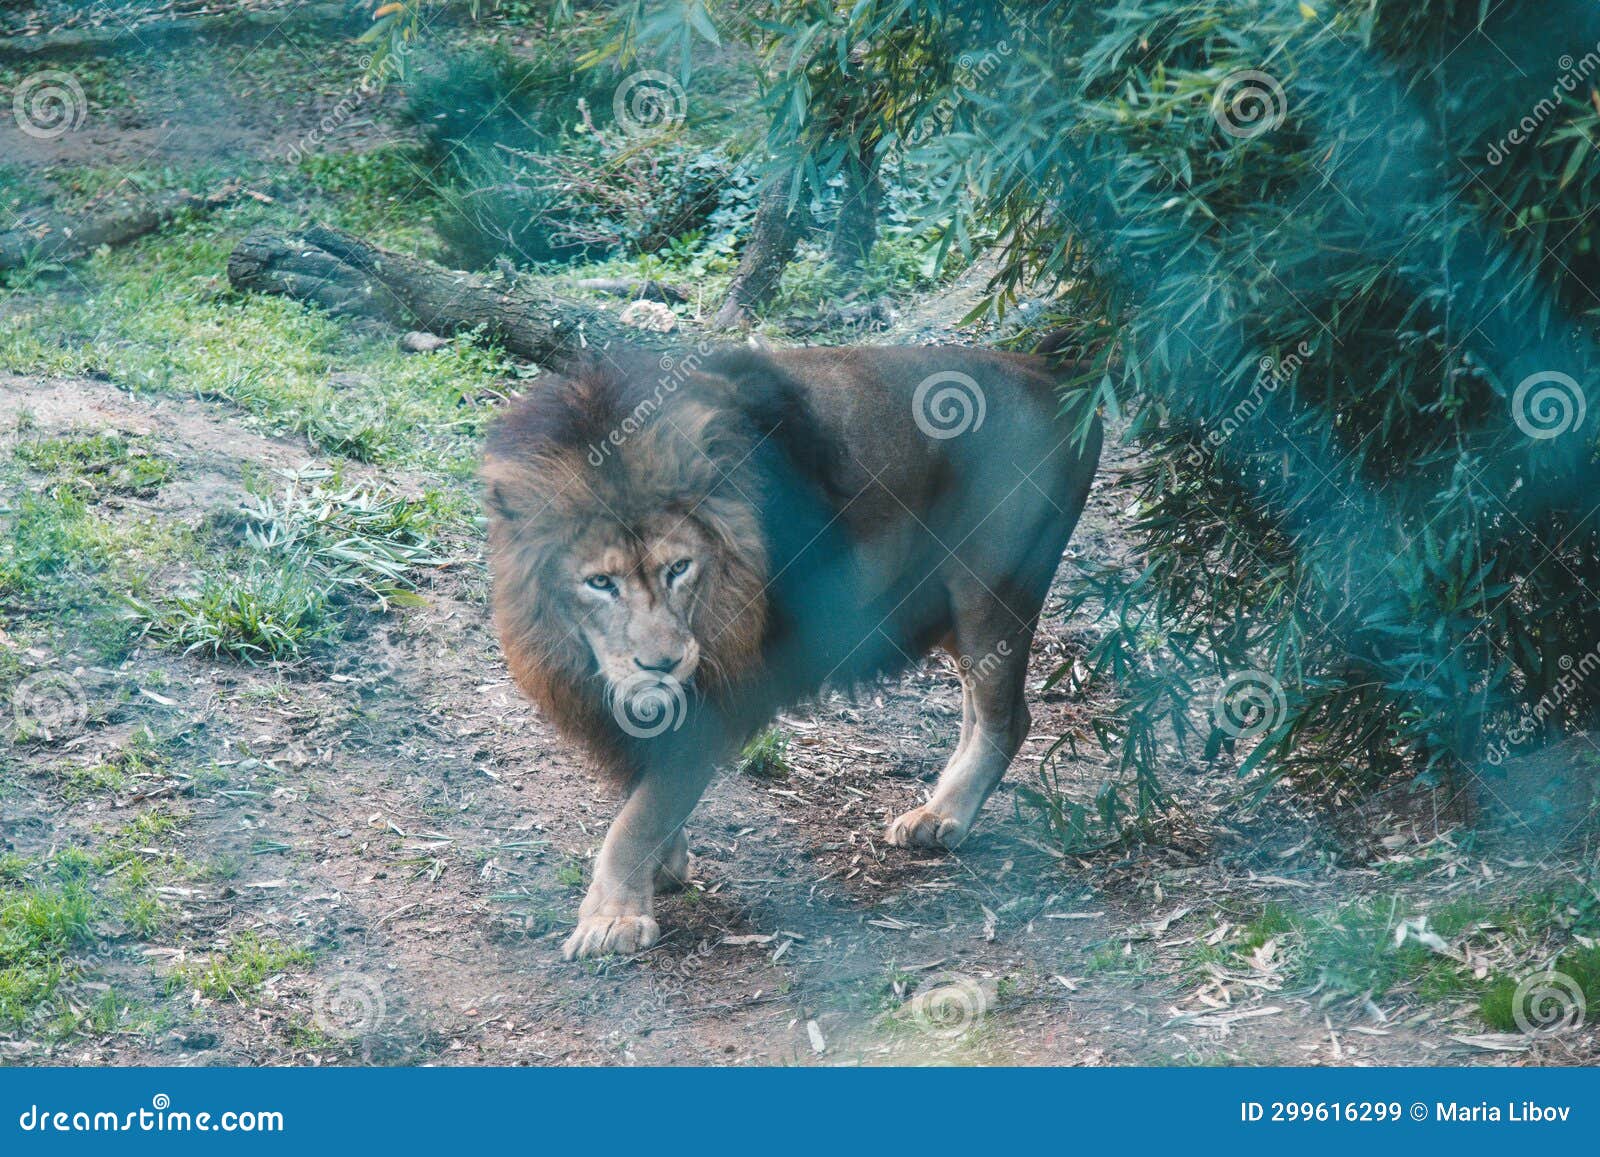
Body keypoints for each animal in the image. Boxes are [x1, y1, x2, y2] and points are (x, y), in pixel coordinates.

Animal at [483, 343, 1101, 960]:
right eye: (600, 583)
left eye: (678, 568)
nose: (664, 663)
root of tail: (1052, 376)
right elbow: (651, 795)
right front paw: (664, 867)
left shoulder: (722, 692)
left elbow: (640, 815)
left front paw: (614, 918)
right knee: (979, 706)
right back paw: (935, 809)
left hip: (992, 587)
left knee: (1008, 717)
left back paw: (946, 814)